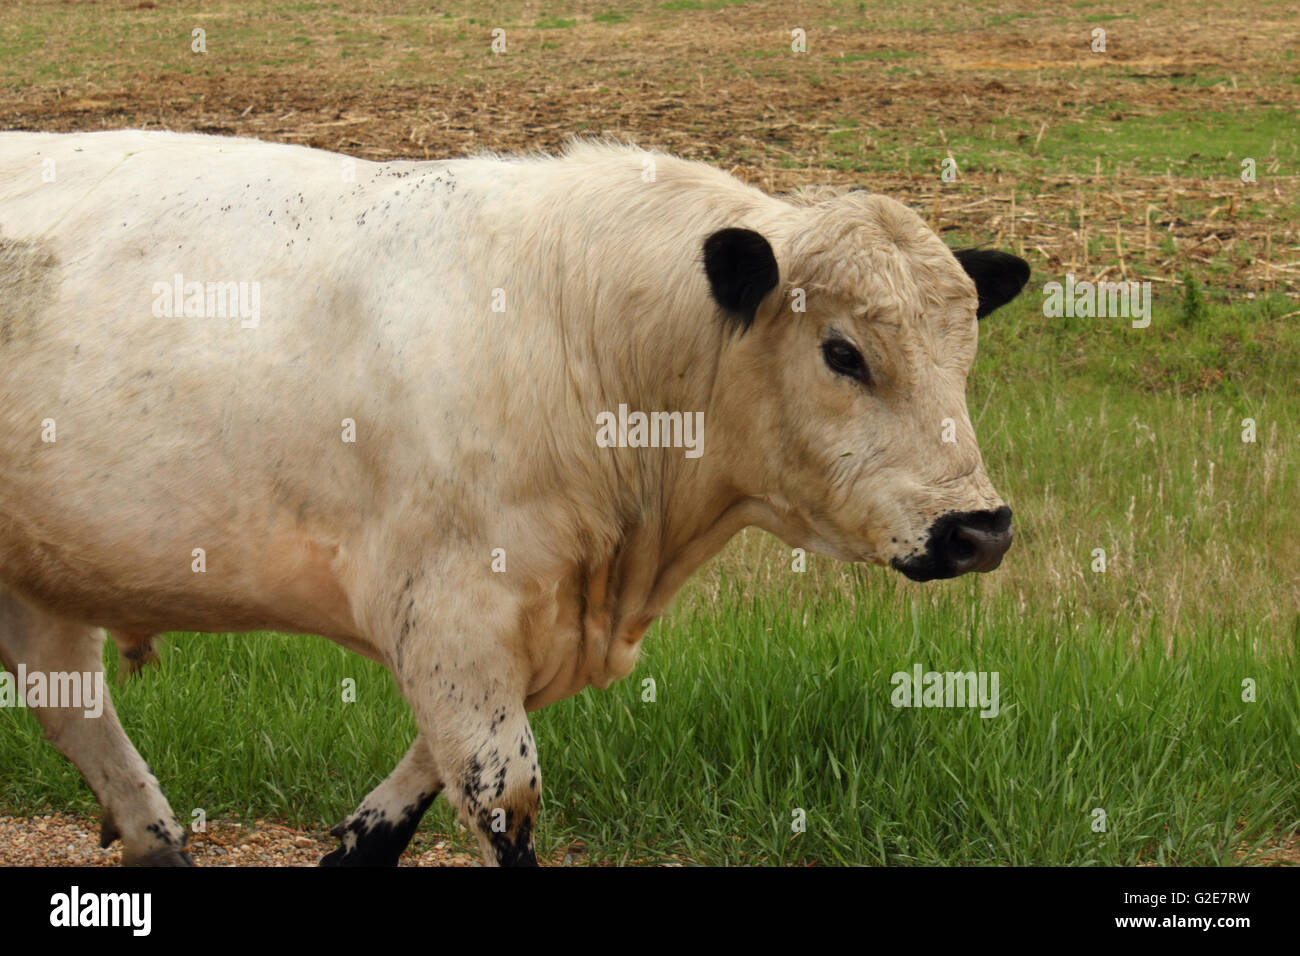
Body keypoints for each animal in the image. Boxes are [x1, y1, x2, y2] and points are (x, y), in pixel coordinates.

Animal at [0, 131, 1029, 866]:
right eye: (843, 352)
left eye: (968, 354)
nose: (979, 529)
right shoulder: (454, 616)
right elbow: (505, 796)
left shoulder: (508, 630)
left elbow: (403, 801)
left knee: (70, 703)